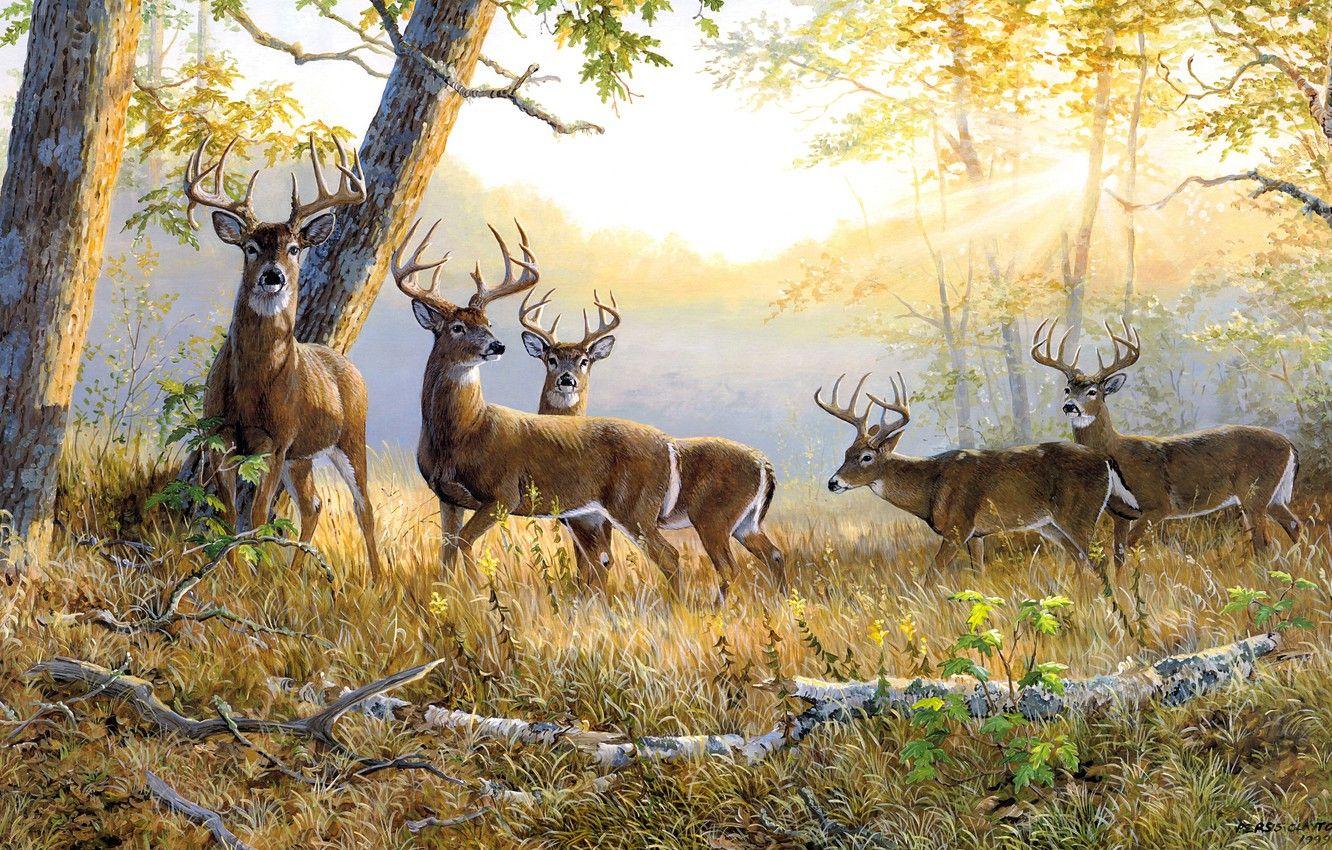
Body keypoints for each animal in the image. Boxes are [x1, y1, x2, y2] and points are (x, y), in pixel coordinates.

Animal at [185, 134, 383, 578]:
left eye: (293, 248)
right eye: (250, 247)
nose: (272, 275)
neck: (251, 390)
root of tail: (349, 366)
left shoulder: (276, 439)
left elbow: (257, 515)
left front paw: (249, 578)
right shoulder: (221, 436)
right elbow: (230, 512)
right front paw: (231, 573)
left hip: (350, 437)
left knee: (363, 506)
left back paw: (380, 580)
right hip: (303, 456)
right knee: (314, 505)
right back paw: (294, 574)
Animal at [392, 219, 699, 594]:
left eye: (489, 325)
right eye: (457, 326)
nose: (498, 345)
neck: (464, 431)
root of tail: (670, 446)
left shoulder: (503, 494)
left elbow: (464, 543)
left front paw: (478, 594)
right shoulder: (447, 495)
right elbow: (447, 551)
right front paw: (447, 596)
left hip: (634, 506)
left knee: (667, 555)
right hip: (597, 514)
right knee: (606, 560)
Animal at [518, 291, 785, 590]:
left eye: (584, 361)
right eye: (551, 358)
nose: (567, 380)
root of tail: (765, 465)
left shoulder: (589, 517)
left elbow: (596, 564)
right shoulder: (588, 520)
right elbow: (594, 564)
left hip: (703, 516)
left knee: (705, 562)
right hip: (746, 523)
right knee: (773, 554)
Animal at [817, 372, 1138, 588]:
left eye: (866, 457)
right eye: (846, 452)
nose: (833, 483)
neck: (930, 485)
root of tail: (1105, 460)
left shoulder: (957, 527)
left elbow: (931, 577)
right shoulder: (977, 535)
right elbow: (978, 575)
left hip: (1080, 515)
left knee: (1098, 561)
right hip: (1051, 526)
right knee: (1084, 562)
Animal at [1031, 319, 1301, 565]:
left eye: (1092, 392)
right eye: (1067, 389)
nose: (1069, 407)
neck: (1115, 453)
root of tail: (1290, 445)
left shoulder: (1158, 504)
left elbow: (1131, 547)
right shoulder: (1120, 514)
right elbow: (1119, 555)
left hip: (1254, 491)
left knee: (1263, 542)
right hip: (1272, 495)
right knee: (1293, 524)